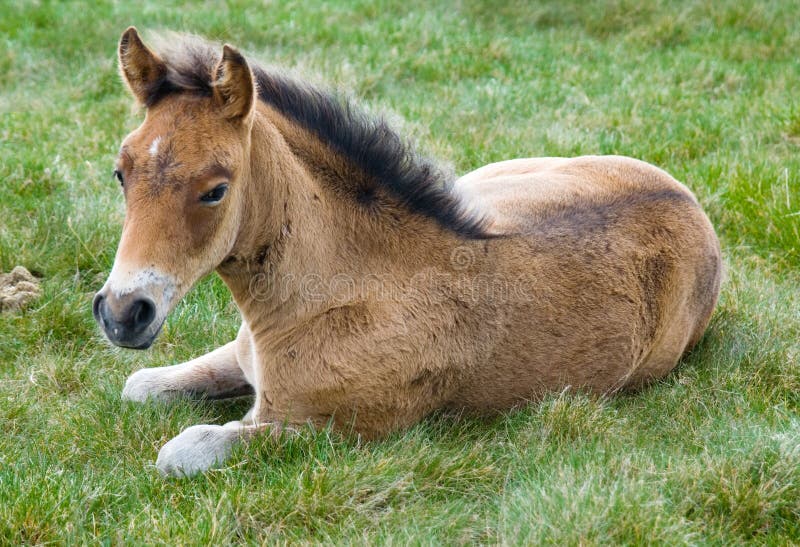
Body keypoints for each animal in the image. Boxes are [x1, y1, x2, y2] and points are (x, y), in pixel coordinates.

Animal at [93, 28, 722, 477]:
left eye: (216, 189)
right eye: (121, 172)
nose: (124, 313)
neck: (347, 291)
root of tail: (686, 199)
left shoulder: (334, 430)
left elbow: (183, 450)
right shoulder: (242, 357)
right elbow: (140, 386)